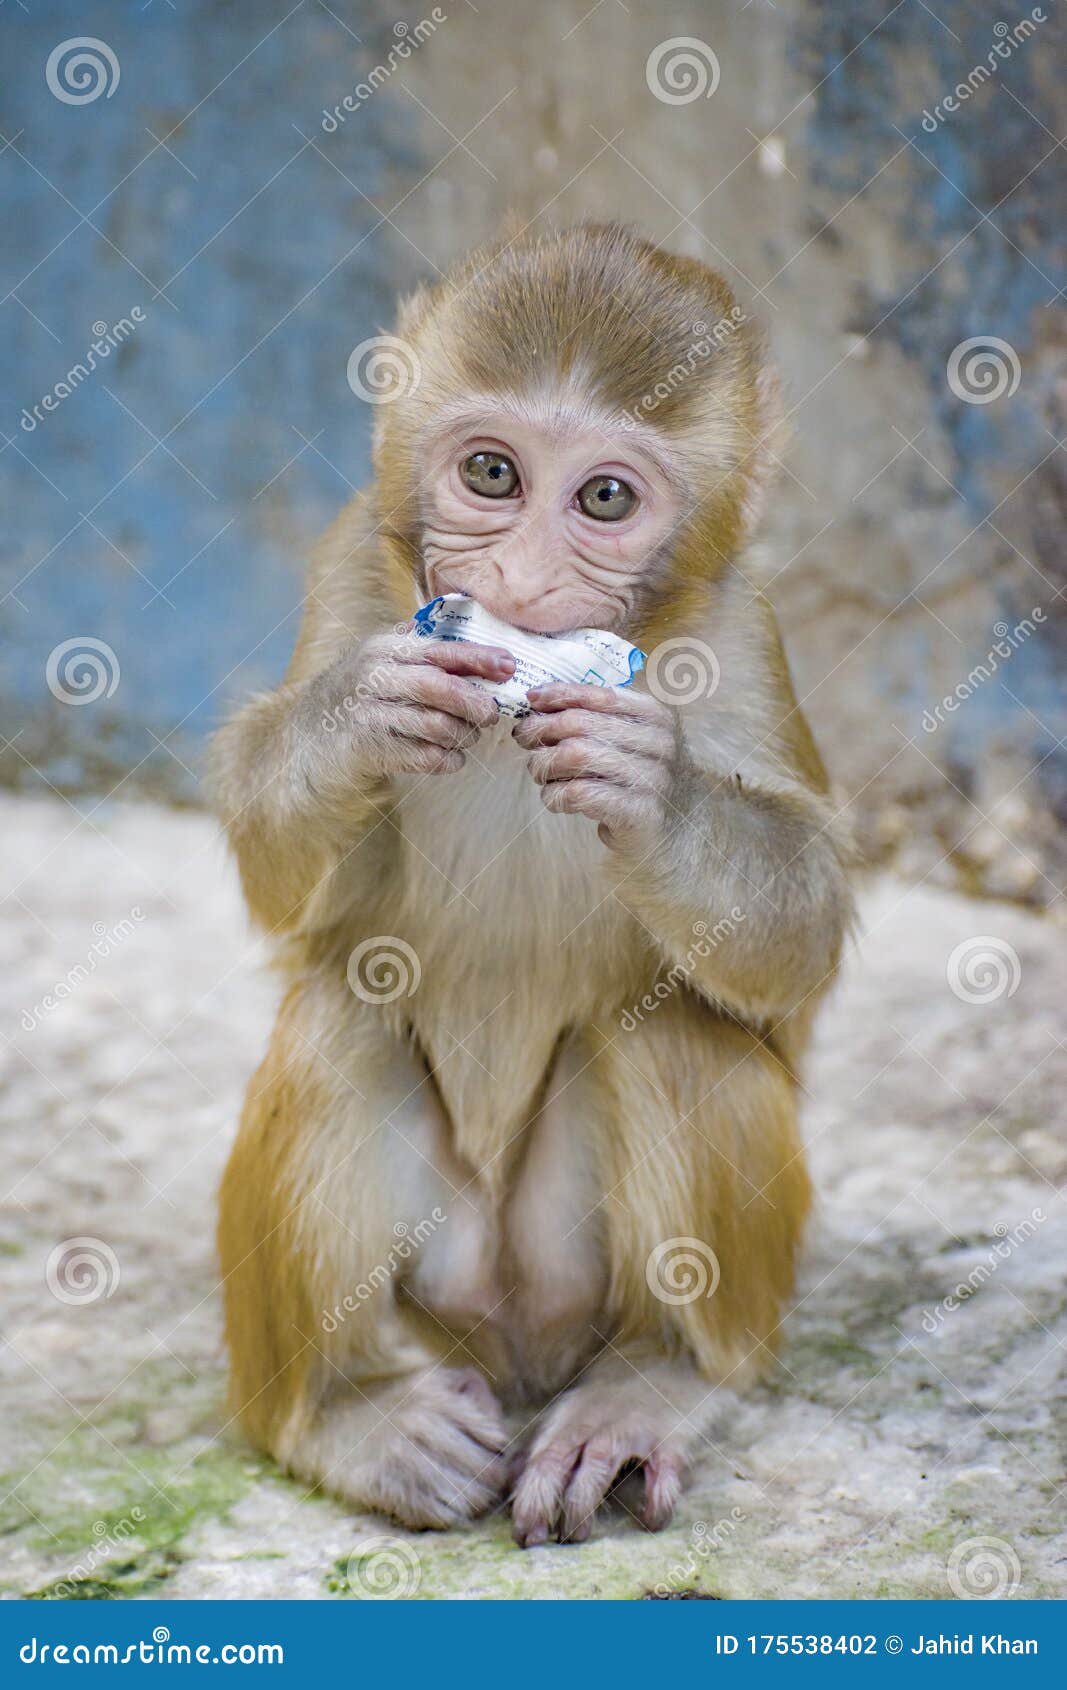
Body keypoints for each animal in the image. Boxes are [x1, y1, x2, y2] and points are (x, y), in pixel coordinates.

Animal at [209, 222, 853, 1546]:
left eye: (603, 497)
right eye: (491, 474)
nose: (514, 576)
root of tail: (512, 1344)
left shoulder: (740, 625)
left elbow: (798, 934)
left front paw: (652, 794)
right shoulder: (354, 565)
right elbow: (286, 879)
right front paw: (361, 713)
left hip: (596, 1277)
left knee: (669, 1036)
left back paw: (651, 1386)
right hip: (438, 1290)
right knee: (338, 1017)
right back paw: (343, 1412)